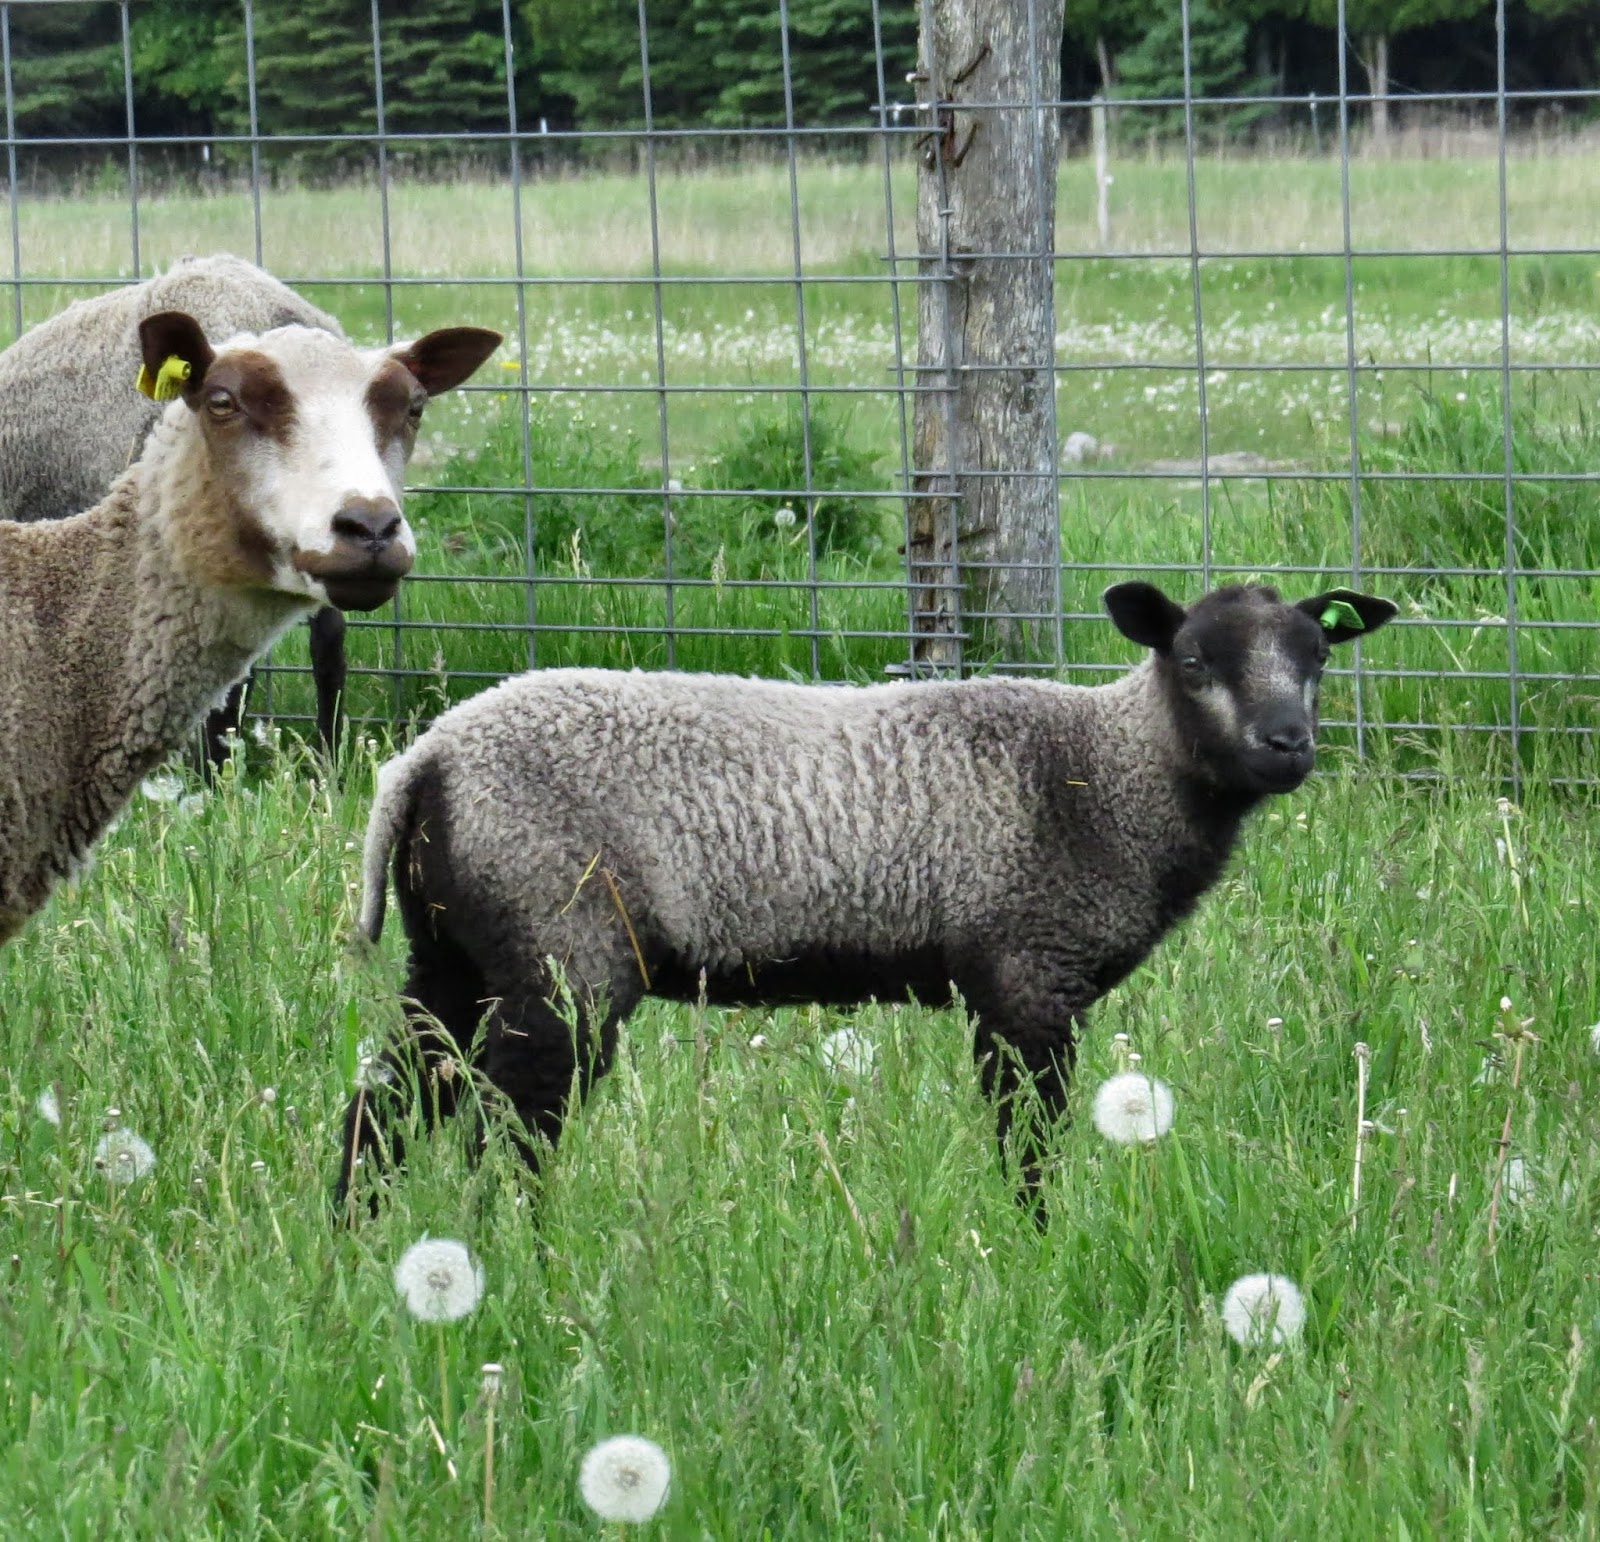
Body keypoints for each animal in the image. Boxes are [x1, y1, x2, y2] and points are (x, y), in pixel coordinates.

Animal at [336, 580, 1397, 1208]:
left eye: (1319, 658)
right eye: (1195, 661)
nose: (1287, 744)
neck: (1101, 770)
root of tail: (428, 760)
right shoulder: (1026, 975)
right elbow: (1029, 1141)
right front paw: (1037, 1244)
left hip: (457, 949)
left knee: (385, 1106)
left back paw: (358, 1241)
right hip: (563, 950)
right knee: (505, 1125)